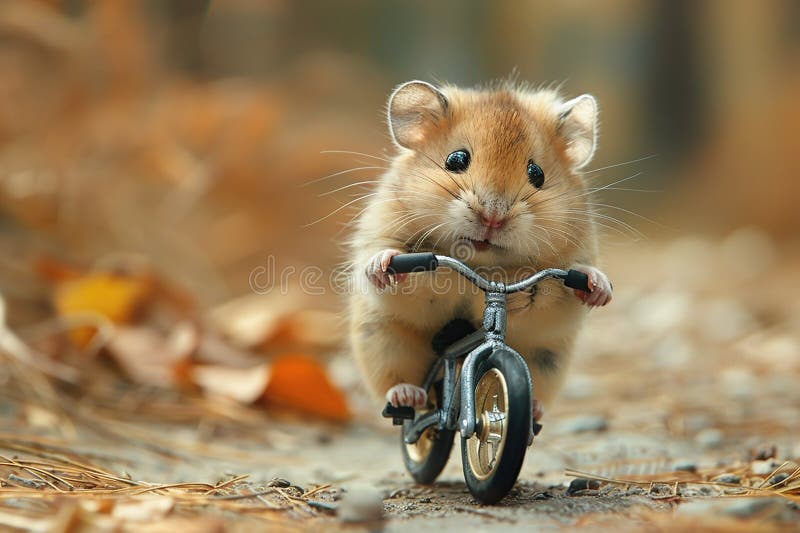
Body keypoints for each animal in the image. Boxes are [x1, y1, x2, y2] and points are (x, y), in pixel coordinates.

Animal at [346, 80, 612, 419]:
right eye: (456, 160)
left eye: (537, 174)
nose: (492, 217)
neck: (482, 262)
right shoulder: (385, 231)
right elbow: (388, 260)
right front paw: (381, 269)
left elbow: (570, 279)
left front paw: (598, 290)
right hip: (382, 341)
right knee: (398, 386)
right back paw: (408, 395)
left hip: (548, 361)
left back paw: (534, 410)